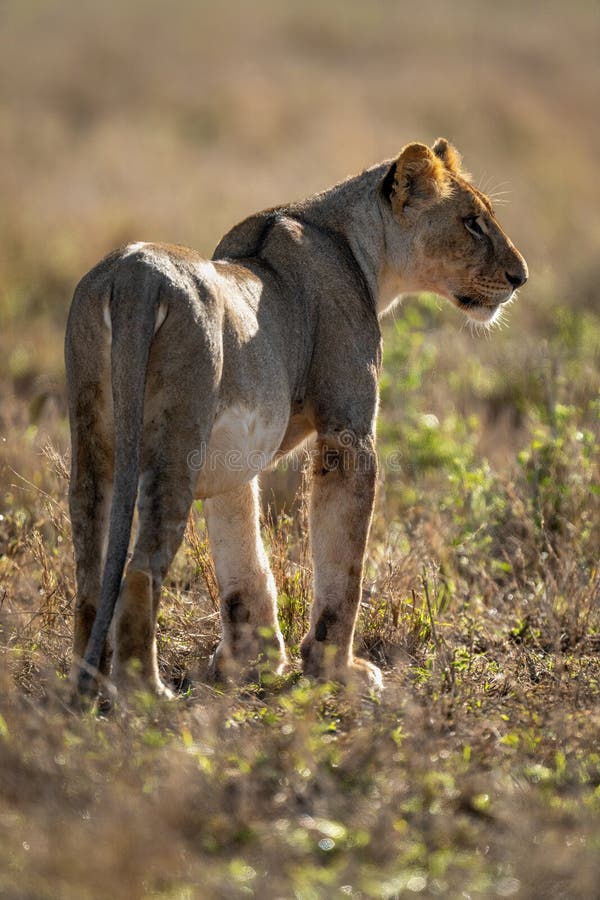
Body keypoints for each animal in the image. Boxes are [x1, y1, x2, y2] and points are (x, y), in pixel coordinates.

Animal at [66, 139, 527, 698]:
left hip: (93, 440)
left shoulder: (233, 457)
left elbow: (243, 556)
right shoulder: (348, 434)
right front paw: (337, 669)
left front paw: (250, 663)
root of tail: (134, 274)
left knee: (91, 568)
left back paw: (89, 684)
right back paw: (149, 695)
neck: (362, 251)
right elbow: (343, 562)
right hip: (176, 445)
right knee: (140, 568)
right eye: (472, 223)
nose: (521, 277)